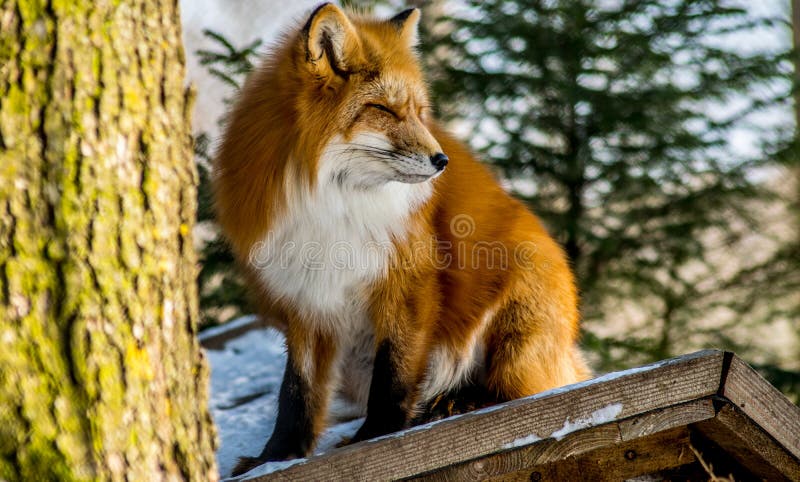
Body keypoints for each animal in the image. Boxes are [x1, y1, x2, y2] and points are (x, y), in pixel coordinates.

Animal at [214, 3, 591, 476]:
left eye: (417, 111)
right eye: (385, 110)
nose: (442, 160)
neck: (335, 205)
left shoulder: (406, 278)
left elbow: (393, 373)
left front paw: (378, 438)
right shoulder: (305, 296)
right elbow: (297, 393)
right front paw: (276, 458)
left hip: (516, 317)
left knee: (518, 390)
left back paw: (457, 402)